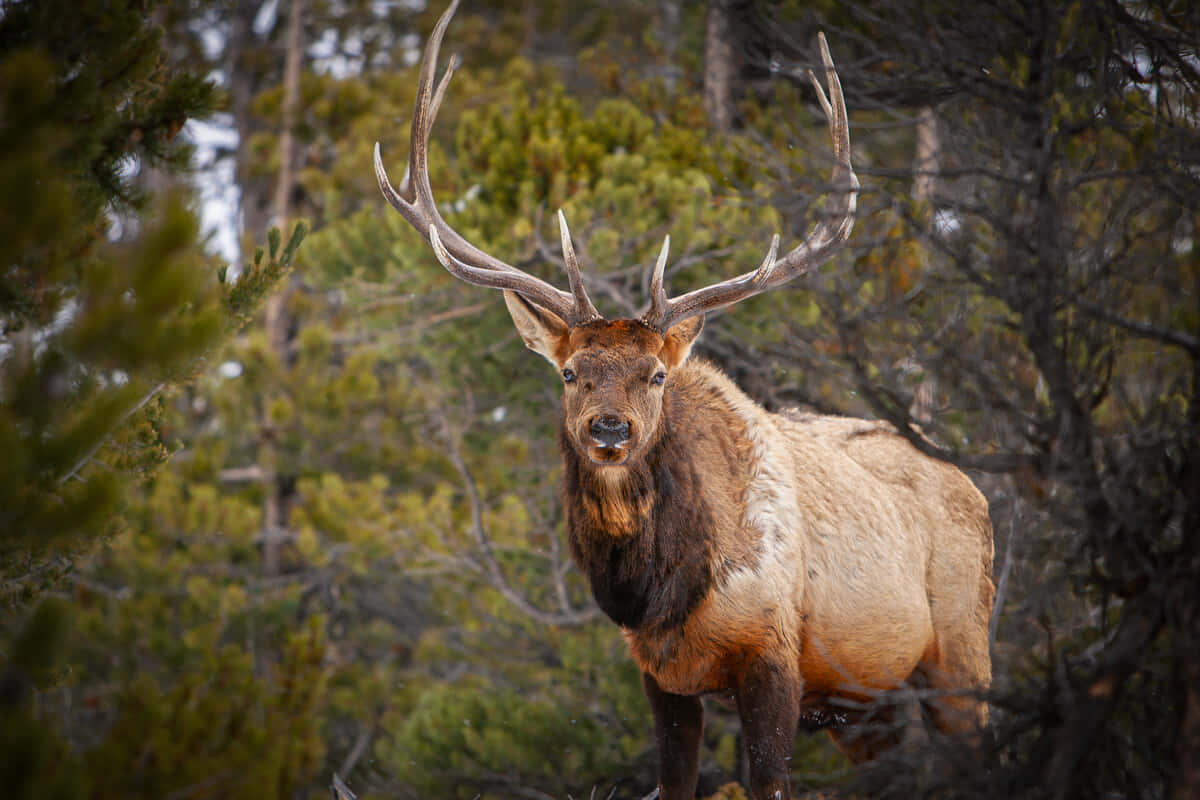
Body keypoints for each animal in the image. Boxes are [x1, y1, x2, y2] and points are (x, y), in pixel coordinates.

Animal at [373, 2, 995, 798]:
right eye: (569, 372)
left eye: (657, 375)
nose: (609, 430)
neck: (663, 593)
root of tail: (973, 486)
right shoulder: (660, 677)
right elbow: (674, 782)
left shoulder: (775, 657)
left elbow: (769, 782)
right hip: (870, 703)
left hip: (961, 653)